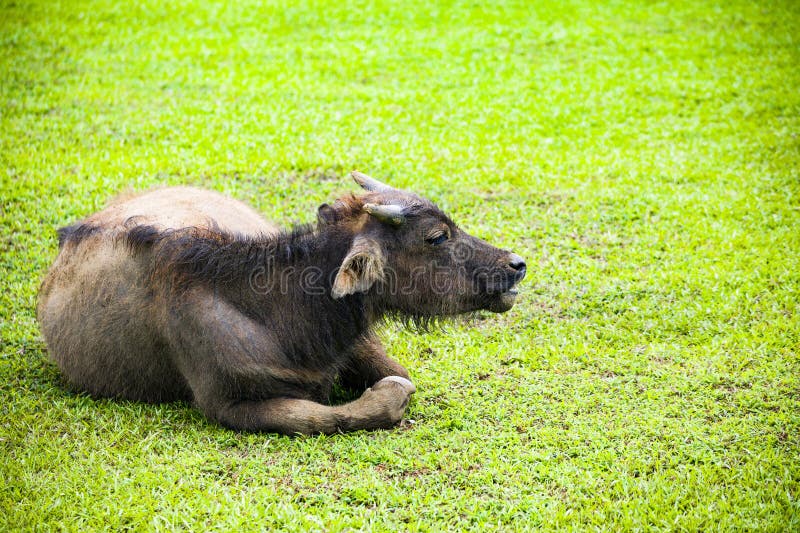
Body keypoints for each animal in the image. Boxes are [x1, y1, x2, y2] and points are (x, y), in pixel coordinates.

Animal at [37, 172, 526, 434]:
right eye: (437, 236)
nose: (516, 264)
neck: (280, 315)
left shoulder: (356, 340)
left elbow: (398, 373)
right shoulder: (227, 404)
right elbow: (323, 415)